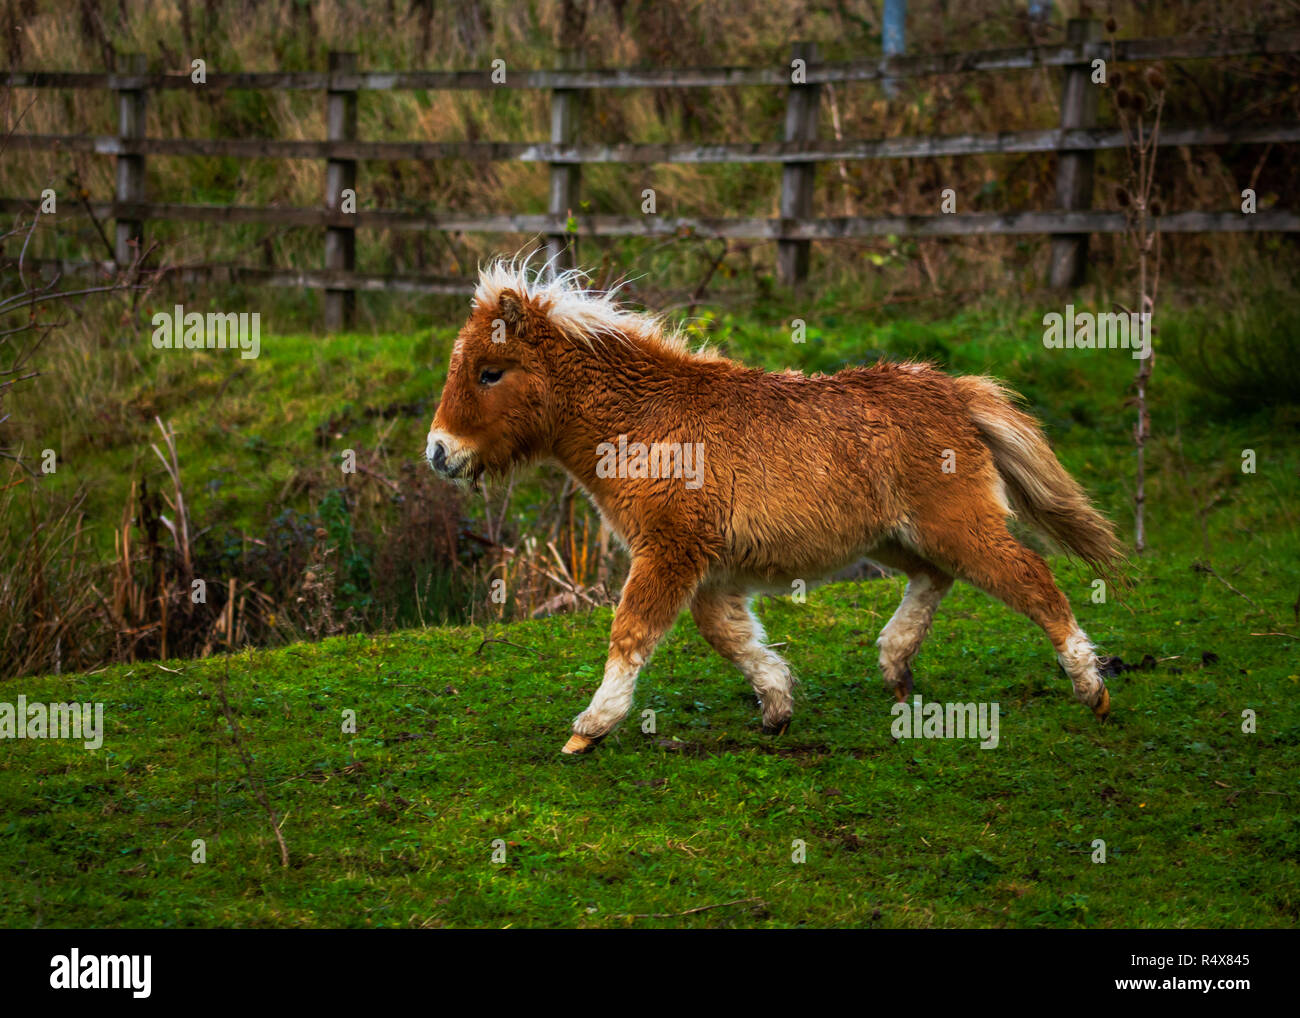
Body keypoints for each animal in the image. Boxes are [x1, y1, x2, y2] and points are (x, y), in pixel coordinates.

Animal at [426, 258, 1121, 754]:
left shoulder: (669, 550)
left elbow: (632, 632)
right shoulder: (707, 567)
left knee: (1030, 578)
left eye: (490, 372)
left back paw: (1091, 687)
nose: (438, 452)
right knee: (934, 578)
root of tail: (956, 392)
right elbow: (729, 635)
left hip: (955, 525)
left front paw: (590, 727)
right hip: (899, 536)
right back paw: (896, 665)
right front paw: (778, 703)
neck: (645, 421)